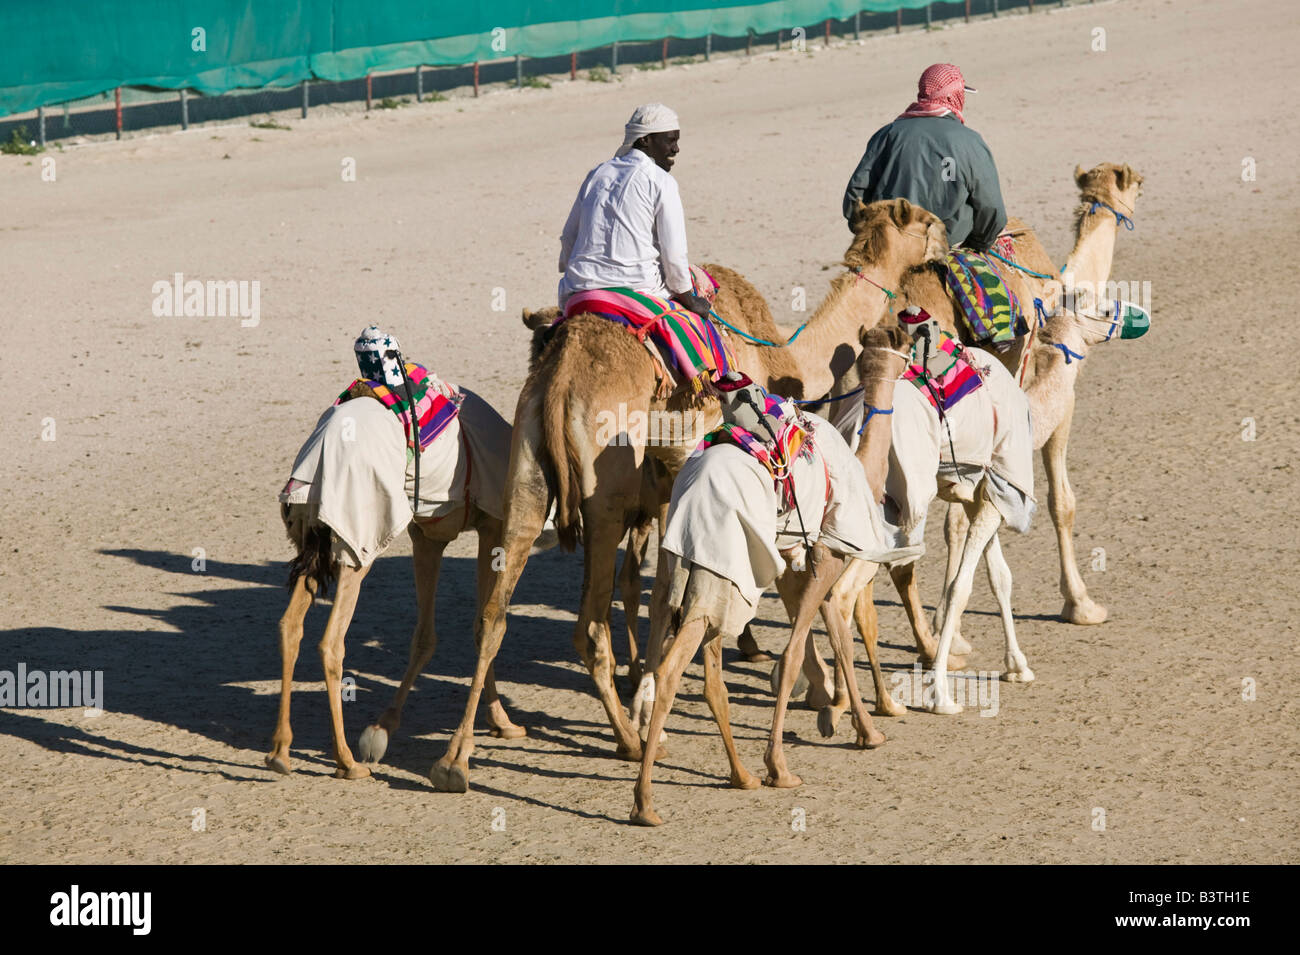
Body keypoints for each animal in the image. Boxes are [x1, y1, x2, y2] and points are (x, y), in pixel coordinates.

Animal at [266, 377, 526, 780]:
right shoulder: (493, 525)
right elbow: (485, 625)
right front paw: (501, 722)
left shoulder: (428, 535)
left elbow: (427, 635)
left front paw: (383, 726)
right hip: (358, 541)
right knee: (331, 642)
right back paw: (347, 762)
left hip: (313, 546)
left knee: (290, 625)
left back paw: (280, 750)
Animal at [630, 328, 912, 825]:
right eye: (912, 342)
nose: (918, 370)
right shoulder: (827, 554)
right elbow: (800, 649)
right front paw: (783, 762)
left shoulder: (805, 560)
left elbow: (835, 634)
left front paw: (853, 723)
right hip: (720, 577)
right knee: (674, 671)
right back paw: (648, 803)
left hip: (679, 569)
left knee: (674, 649)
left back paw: (729, 773)